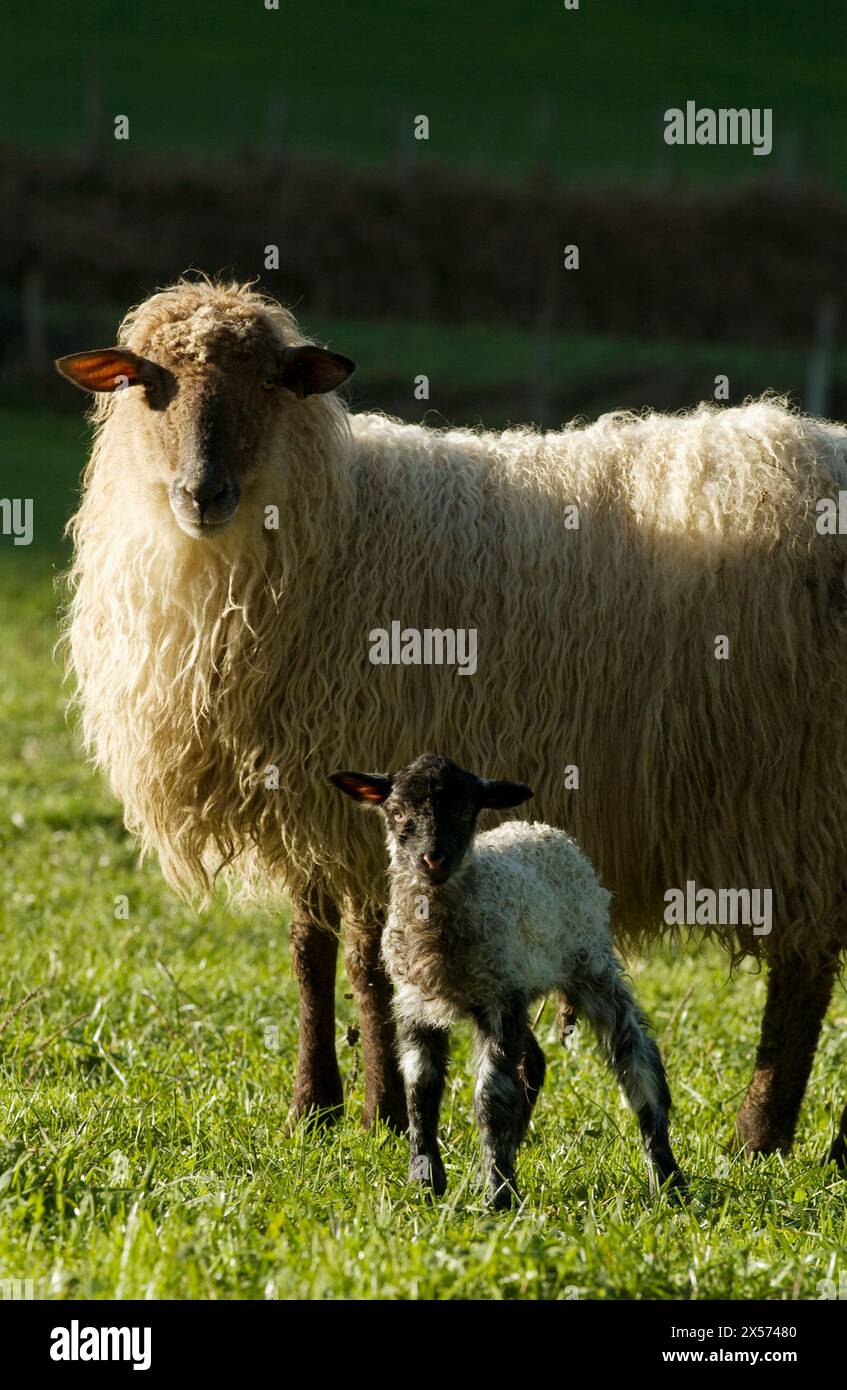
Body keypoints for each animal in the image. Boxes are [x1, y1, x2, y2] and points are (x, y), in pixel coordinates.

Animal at [329, 754, 684, 1207]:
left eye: (466, 810)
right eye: (397, 813)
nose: (433, 859)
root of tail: (541, 828)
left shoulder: (498, 1002)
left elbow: (490, 1097)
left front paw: (497, 1196)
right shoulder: (415, 1003)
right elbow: (420, 1093)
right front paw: (425, 1182)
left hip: (588, 963)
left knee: (636, 1055)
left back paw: (668, 1176)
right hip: (520, 981)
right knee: (533, 1063)